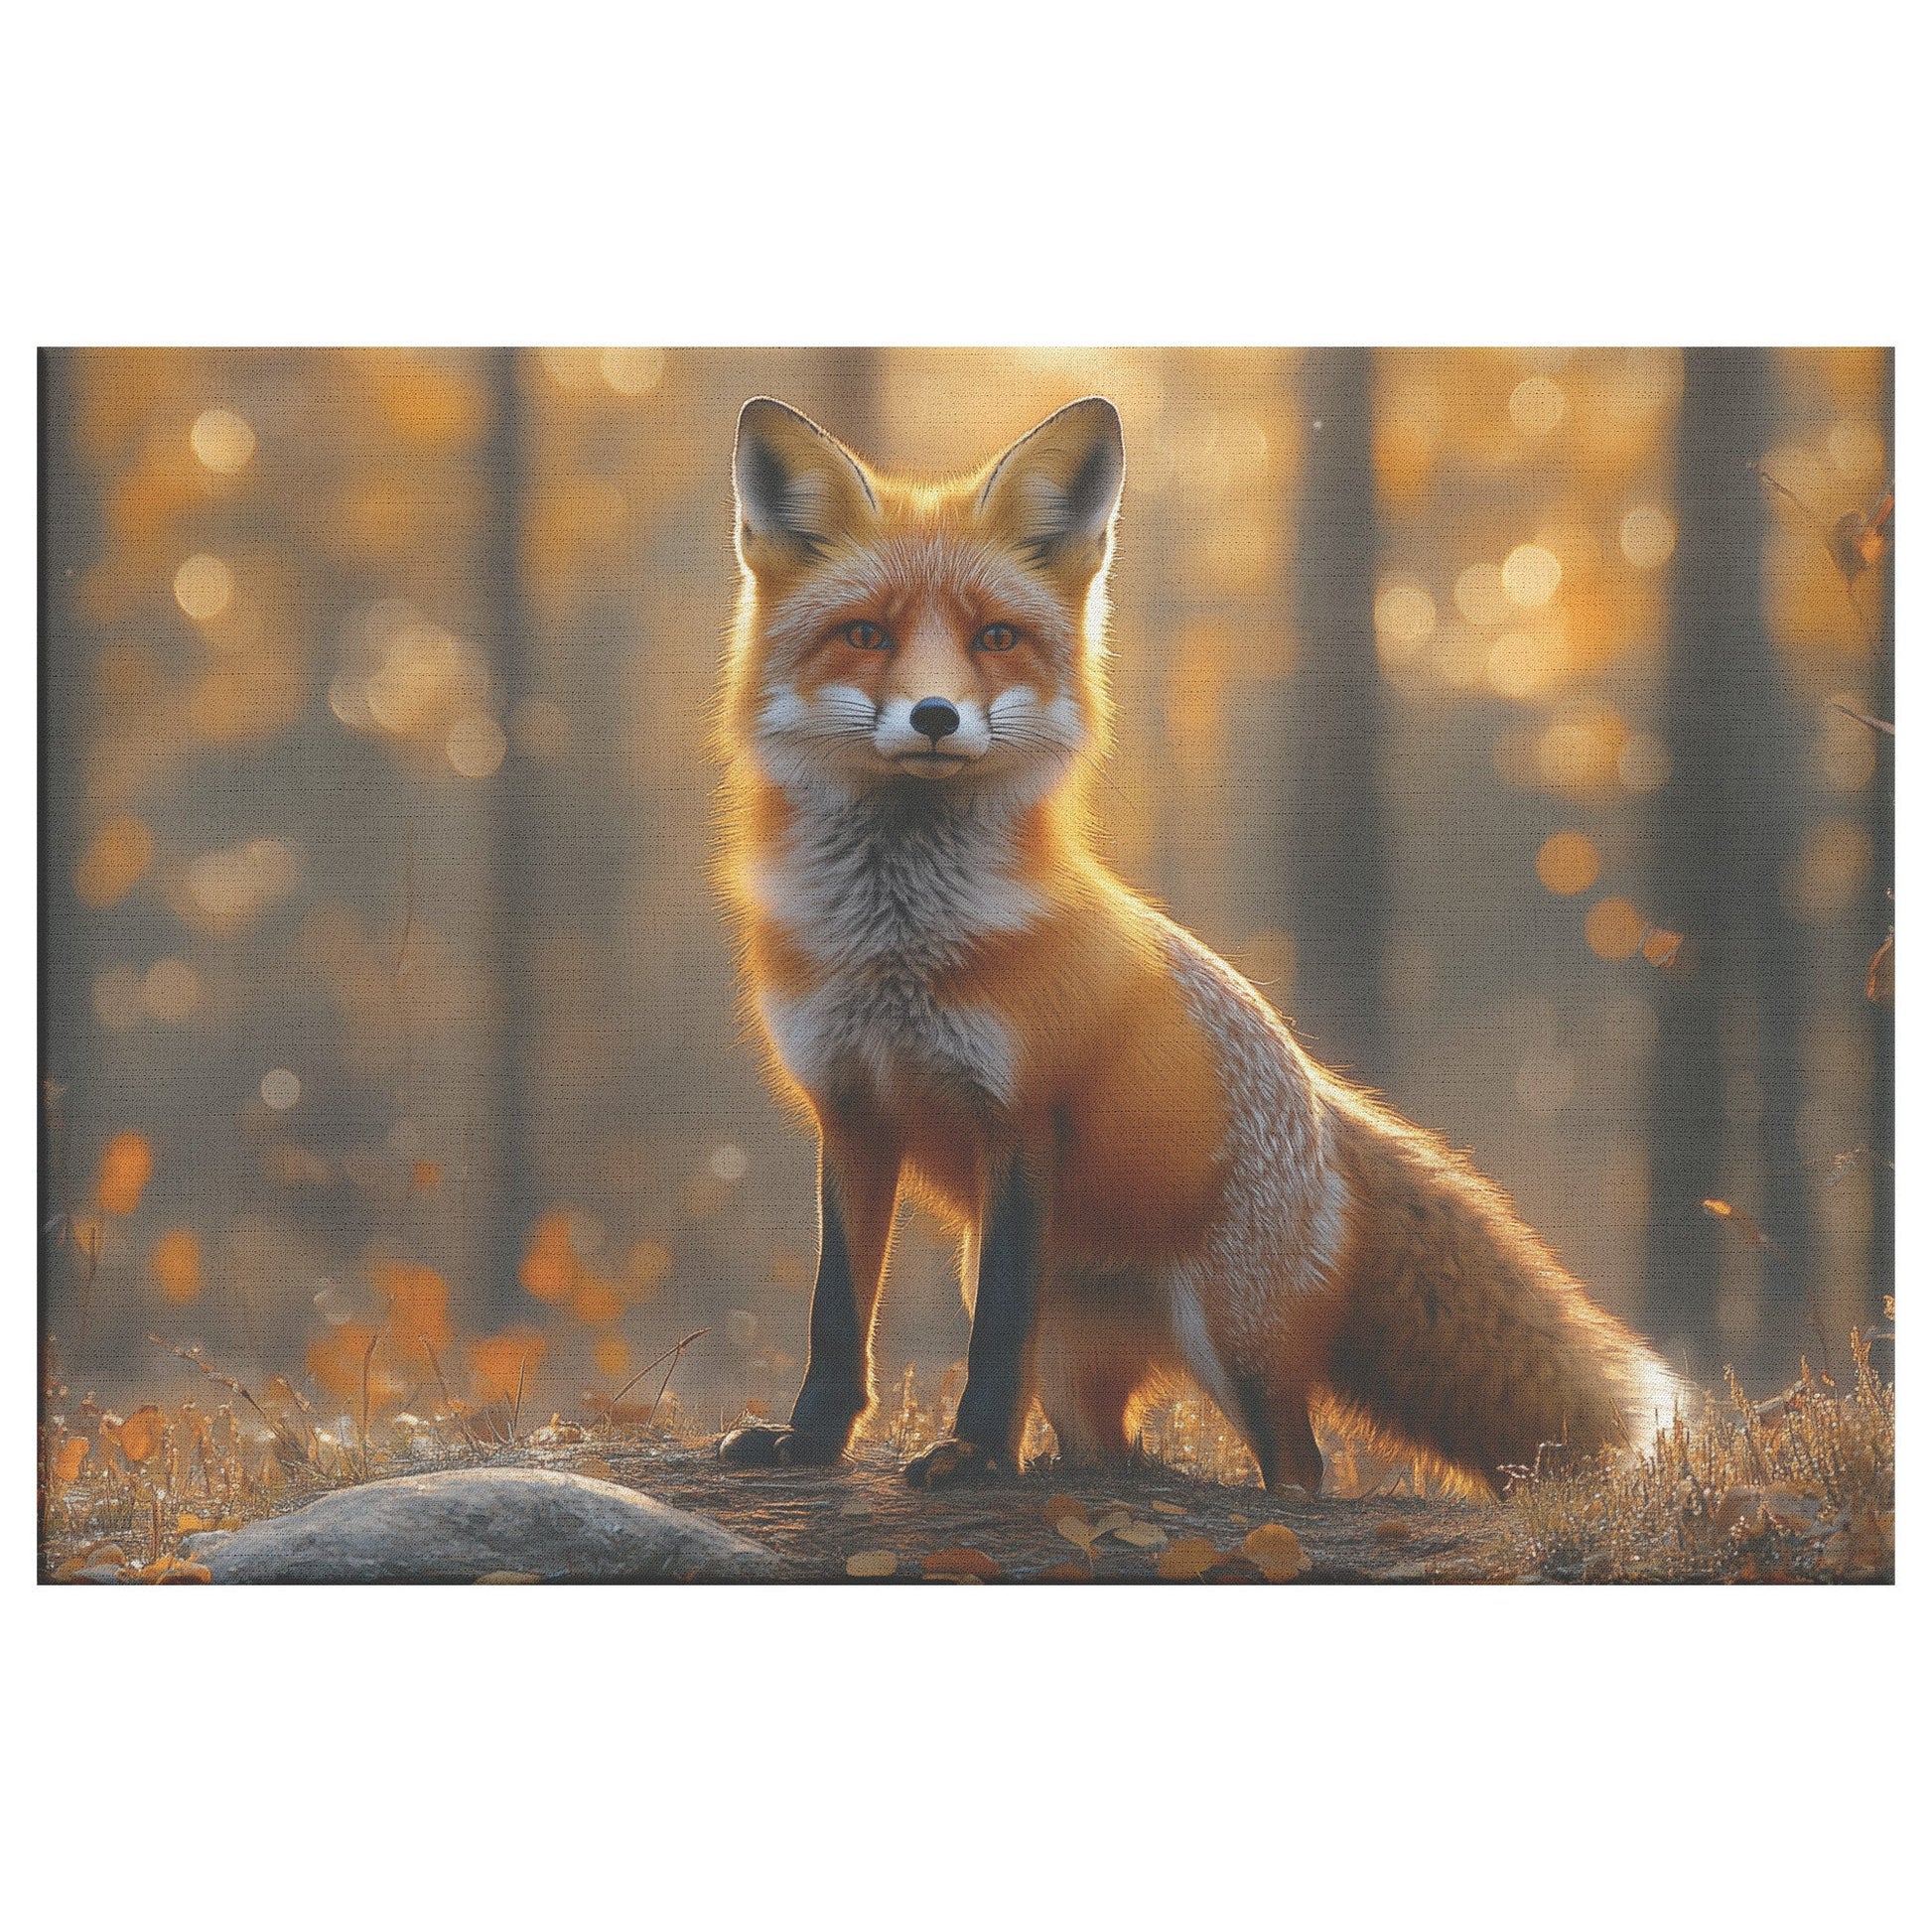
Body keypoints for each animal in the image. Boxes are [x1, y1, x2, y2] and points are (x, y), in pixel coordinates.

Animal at [714, 392, 1685, 1494]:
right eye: (864, 634)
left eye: (996, 636)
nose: (934, 715)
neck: (895, 942)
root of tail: (1320, 1099)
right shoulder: (851, 1113)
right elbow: (836, 1312)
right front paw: (810, 1441)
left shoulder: (1021, 1118)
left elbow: (994, 1332)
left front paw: (975, 1455)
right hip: (1077, 1358)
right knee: (1108, 1445)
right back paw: (1075, 1480)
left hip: (1238, 1348)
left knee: (1301, 1472)